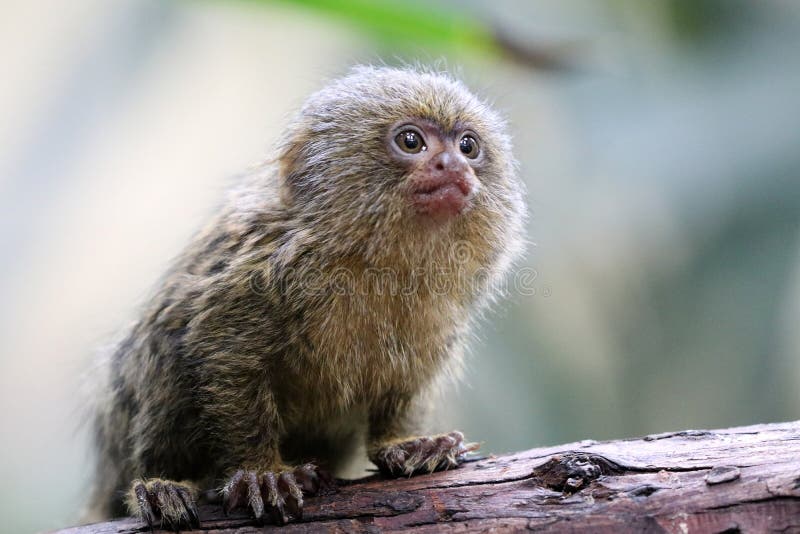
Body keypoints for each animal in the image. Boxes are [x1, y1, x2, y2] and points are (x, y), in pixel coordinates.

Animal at [86, 65, 526, 529]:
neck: (372, 263)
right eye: (411, 141)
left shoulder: (438, 314)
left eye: (468, 145)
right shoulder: (257, 273)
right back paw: (160, 486)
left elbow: (404, 383)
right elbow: (223, 358)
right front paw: (262, 473)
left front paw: (405, 444)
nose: (453, 164)